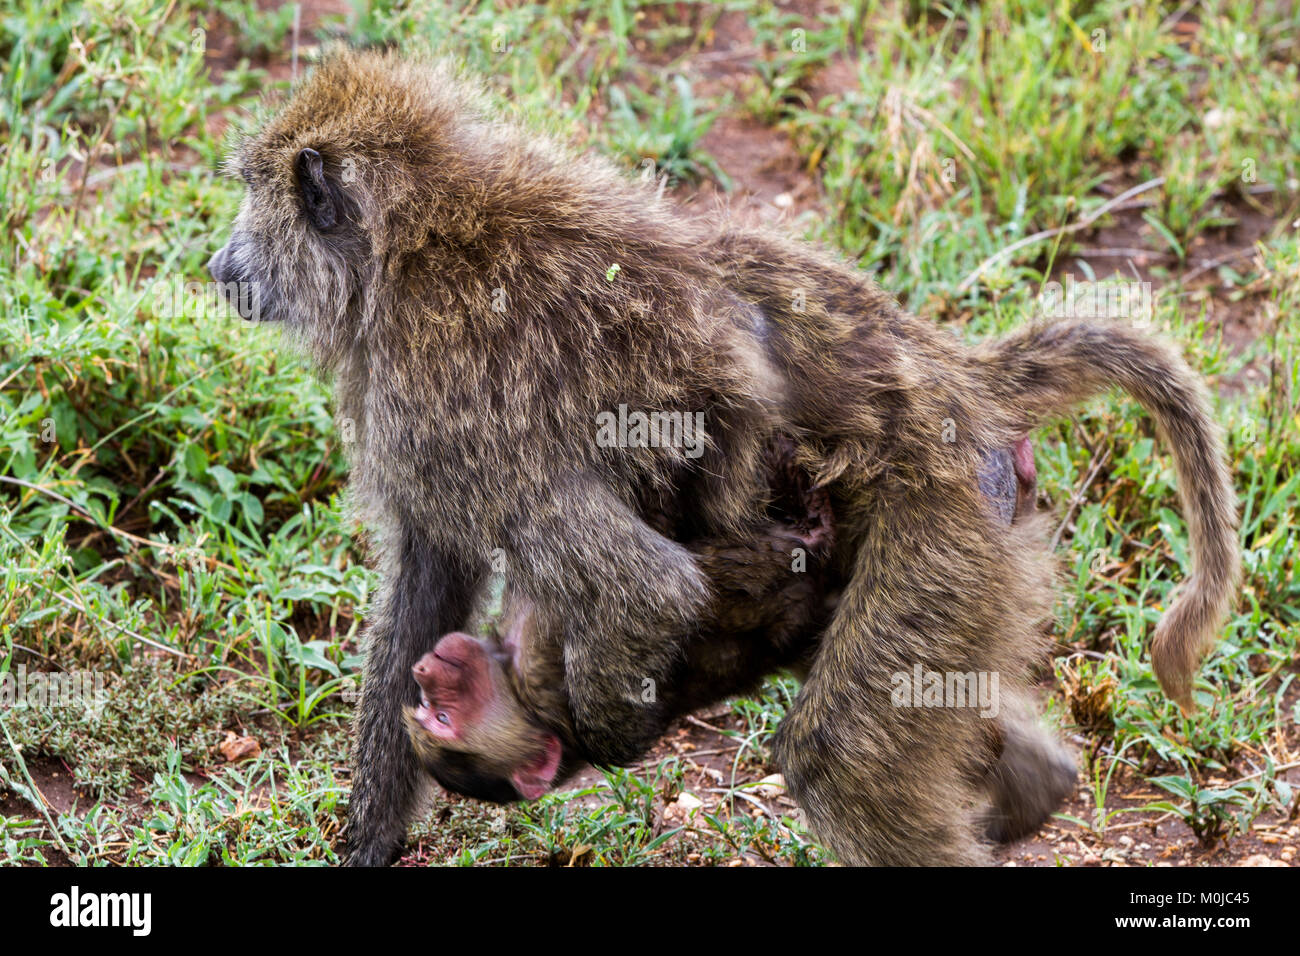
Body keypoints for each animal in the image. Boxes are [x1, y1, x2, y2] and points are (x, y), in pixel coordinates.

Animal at [209, 49, 1238, 866]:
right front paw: (370, 840)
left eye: (253, 198)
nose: (219, 269)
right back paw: (1041, 788)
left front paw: (603, 732)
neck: (415, 237)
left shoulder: (442, 404)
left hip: (940, 519)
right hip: (983, 537)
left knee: (836, 756)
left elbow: (644, 589)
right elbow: (429, 581)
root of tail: (960, 380)